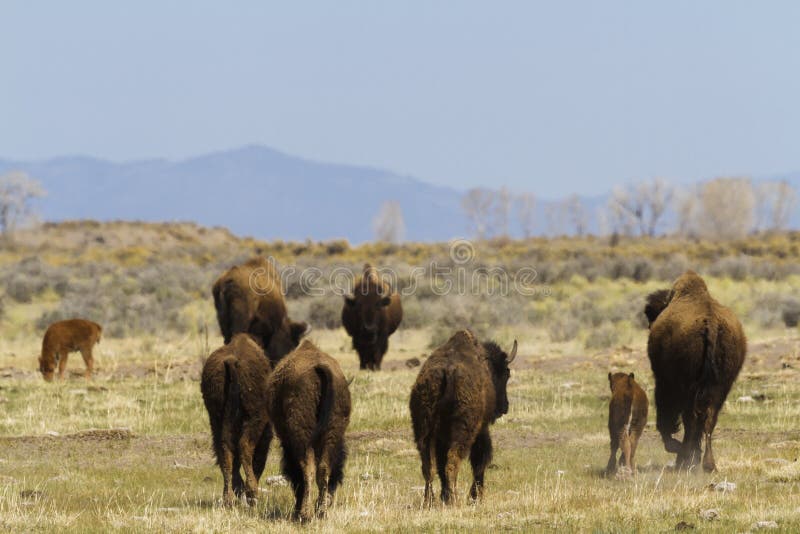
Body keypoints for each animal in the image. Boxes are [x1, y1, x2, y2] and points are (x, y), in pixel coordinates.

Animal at [200, 334, 273, 506]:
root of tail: (232, 362)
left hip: (216, 419)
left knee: (224, 451)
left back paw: (229, 498)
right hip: (253, 419)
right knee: (244, 446)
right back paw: (252, 493)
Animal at [266, 340, 352, 521]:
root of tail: (320, 369)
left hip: (302, 436)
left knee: (307, 469)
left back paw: (305, 514)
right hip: (332, 432)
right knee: (323, 469)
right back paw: (321, 512)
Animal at [409, 330, 516, 505]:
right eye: (506, 374)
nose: (504, 407)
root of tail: (446, 372)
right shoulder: (481, 430)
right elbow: (480, 460)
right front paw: (475, 497)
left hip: (423, 430)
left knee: (428, 466)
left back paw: (430, 501)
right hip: (463, 432)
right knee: (452, 462)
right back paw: (454, 500)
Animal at [646, 270, 746, 472]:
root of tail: (711, 323)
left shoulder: (663, 381)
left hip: (686, 387)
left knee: (691, 419)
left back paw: (685, 459)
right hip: (721, 386)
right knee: (708, 420)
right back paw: (707, 464)